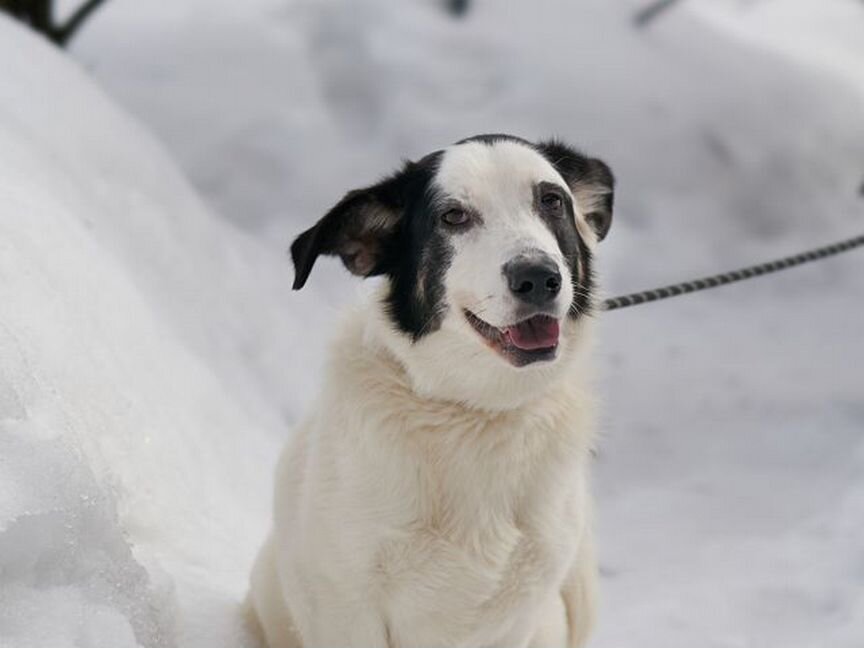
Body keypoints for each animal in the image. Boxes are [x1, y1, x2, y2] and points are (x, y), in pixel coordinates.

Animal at [248, 133, 616, 648]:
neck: (472, 411)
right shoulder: (347, 605)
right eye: (454, 216)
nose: (538, 277)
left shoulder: (518, 618)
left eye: (552, 201)